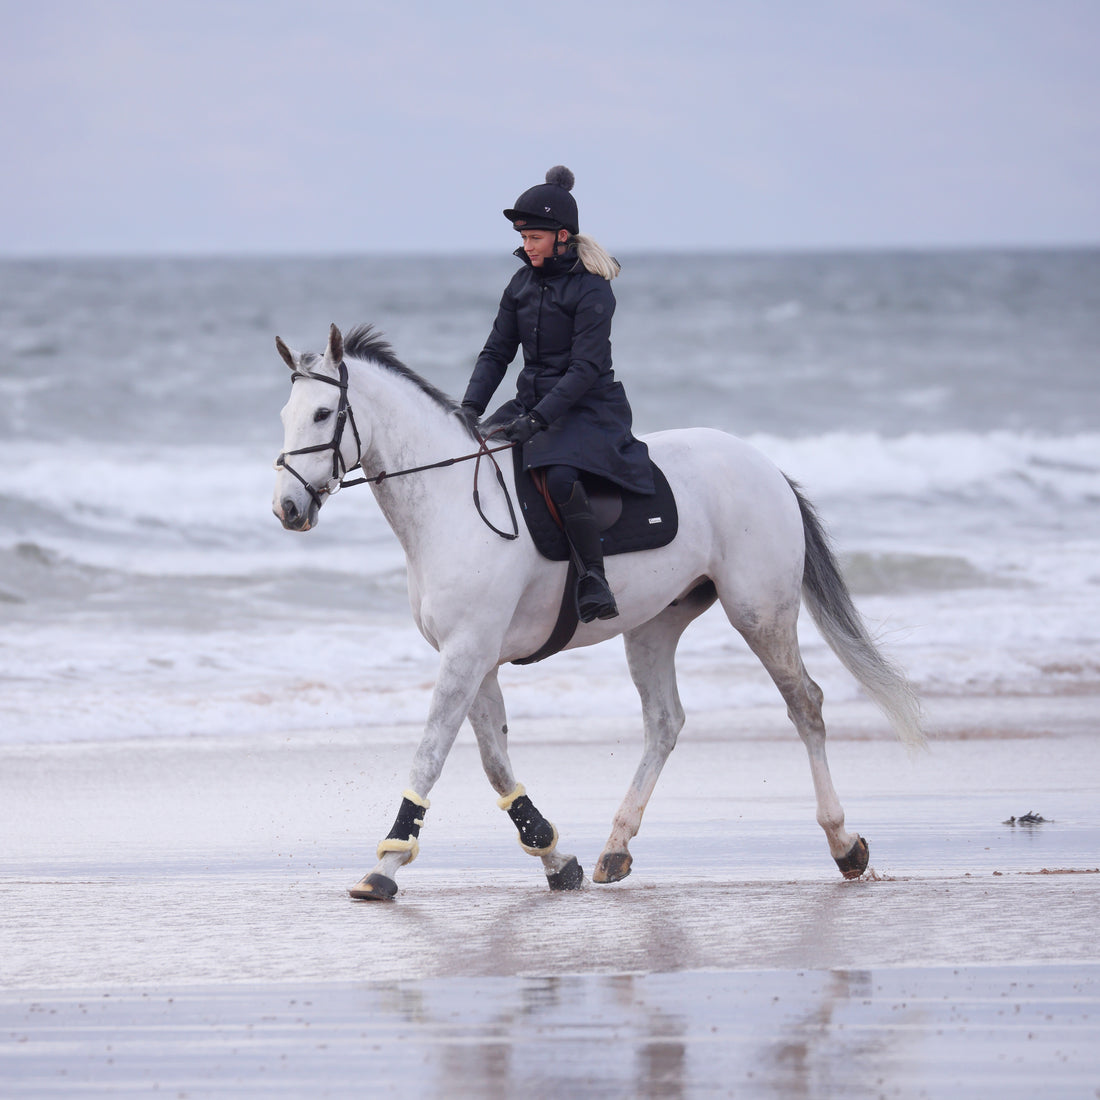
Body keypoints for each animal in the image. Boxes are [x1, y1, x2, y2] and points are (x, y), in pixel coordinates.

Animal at [272, 323, 924, 901]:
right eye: (285, 415)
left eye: (323, 415)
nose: (287, 508)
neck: (451, 501)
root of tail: (766, 467)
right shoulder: (475, 658)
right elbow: (494, 763)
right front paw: (553, 855)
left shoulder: (467, 653)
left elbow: (430, 755)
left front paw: (385, 866)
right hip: (655, 626)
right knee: (664, 722)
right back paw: (617, 847)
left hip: (759, 613)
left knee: (804, 704)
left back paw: (843, 843)